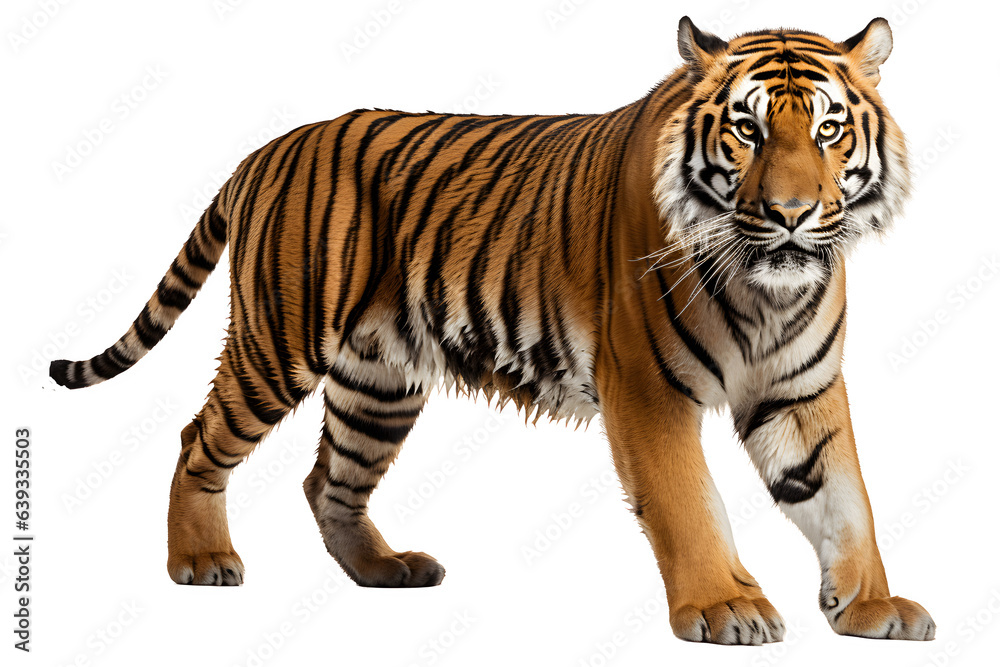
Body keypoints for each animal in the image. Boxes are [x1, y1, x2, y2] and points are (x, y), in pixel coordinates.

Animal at [48, 16, 934, 644]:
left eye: (827, 130)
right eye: (747, 130)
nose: (791, 213)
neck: (766, 290)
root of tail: (266, 150)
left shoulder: (801, 391)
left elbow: (846, 498)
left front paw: (873, 604)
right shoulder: (646, 389)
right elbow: (689, 502)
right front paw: (725, 606)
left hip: (378, 380)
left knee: (328, 477)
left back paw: (384, 568)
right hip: (281, 339)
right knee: (199, 437)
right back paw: (200, 560)